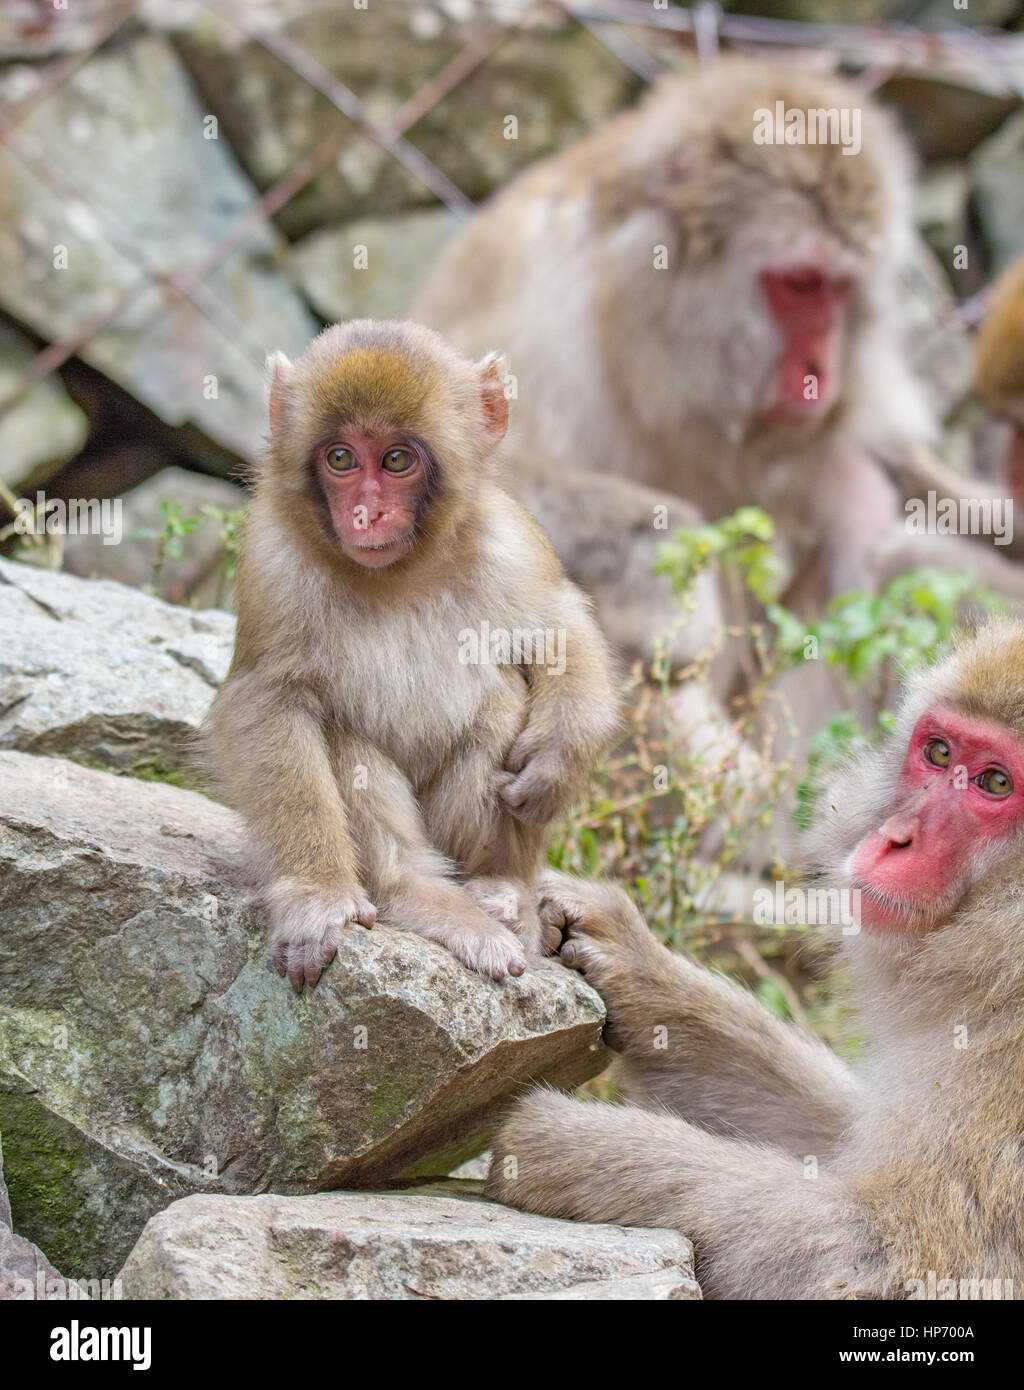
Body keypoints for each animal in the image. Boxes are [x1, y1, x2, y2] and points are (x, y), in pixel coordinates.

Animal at [203, 319, 620, 992]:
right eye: (341, 458)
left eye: (397, 459)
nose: (365, 513)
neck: (399, 572)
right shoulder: (271, 560)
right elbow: (266, 703)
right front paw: (315, 895)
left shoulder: (510, 540)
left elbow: (557, 625)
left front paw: (562, 750)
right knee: (341, 733)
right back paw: (418, 894)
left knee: (502, 703)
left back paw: (502, 889)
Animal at [486, 618, 1024, 1299]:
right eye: (940, 753)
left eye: (997, 784)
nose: (894, 838)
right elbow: (832, 1134)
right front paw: (629, 956)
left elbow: (890, 1258)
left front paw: (572, 1143)